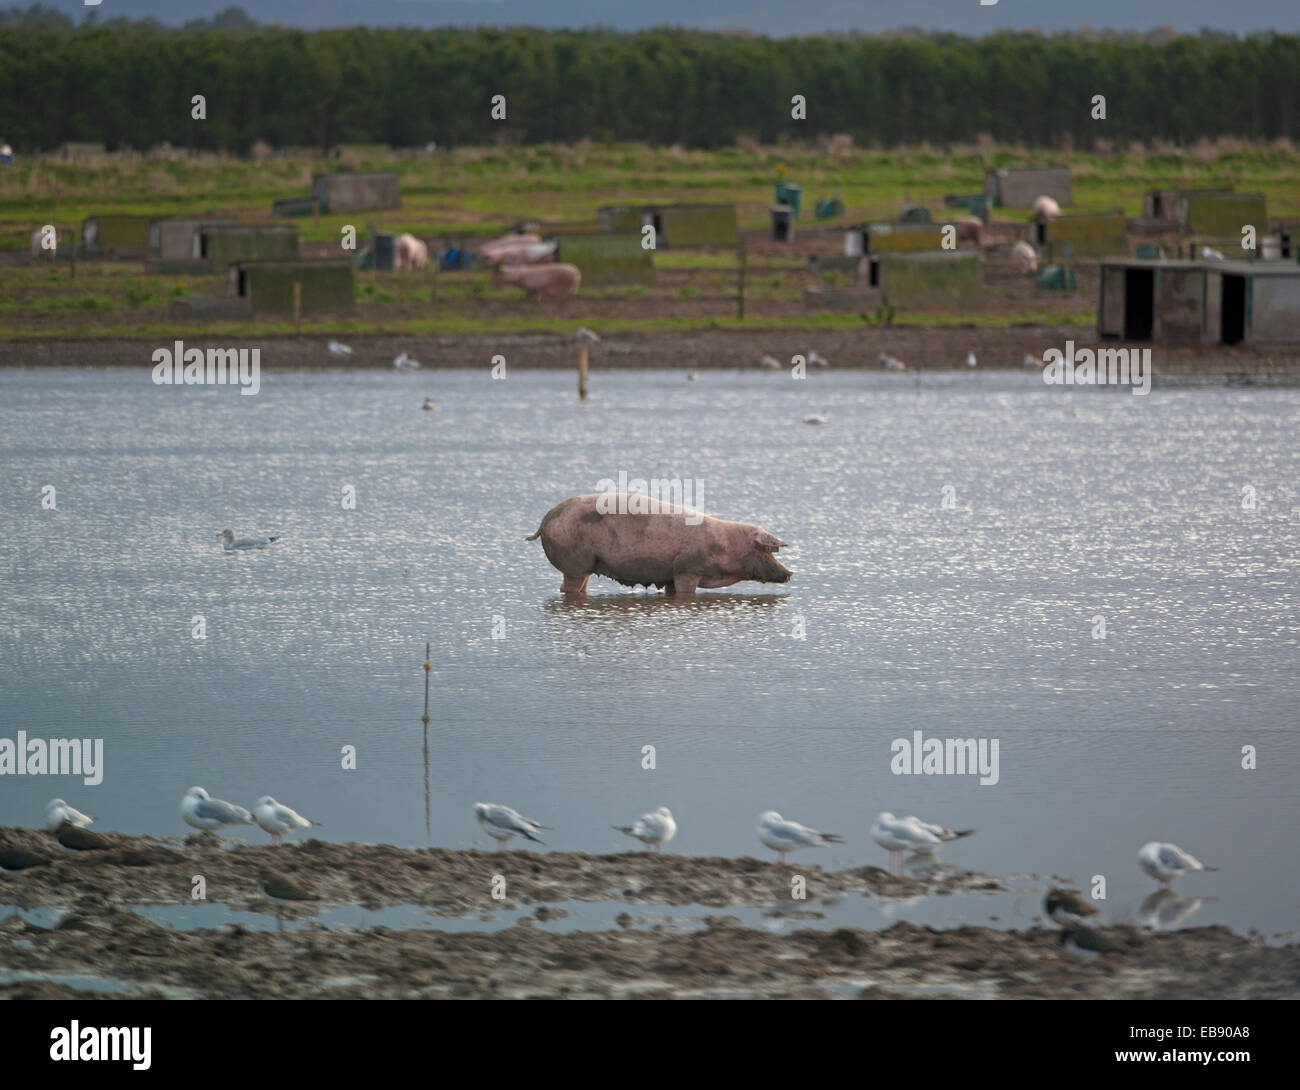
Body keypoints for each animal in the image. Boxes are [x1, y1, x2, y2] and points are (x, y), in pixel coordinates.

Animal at [526, 493, 792, 596]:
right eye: (765, 551)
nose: (790, 573)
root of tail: (546, 519)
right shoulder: (687, 569)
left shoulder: (671, 575)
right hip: (575, 565)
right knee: (568, 587)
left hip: (586, 567)